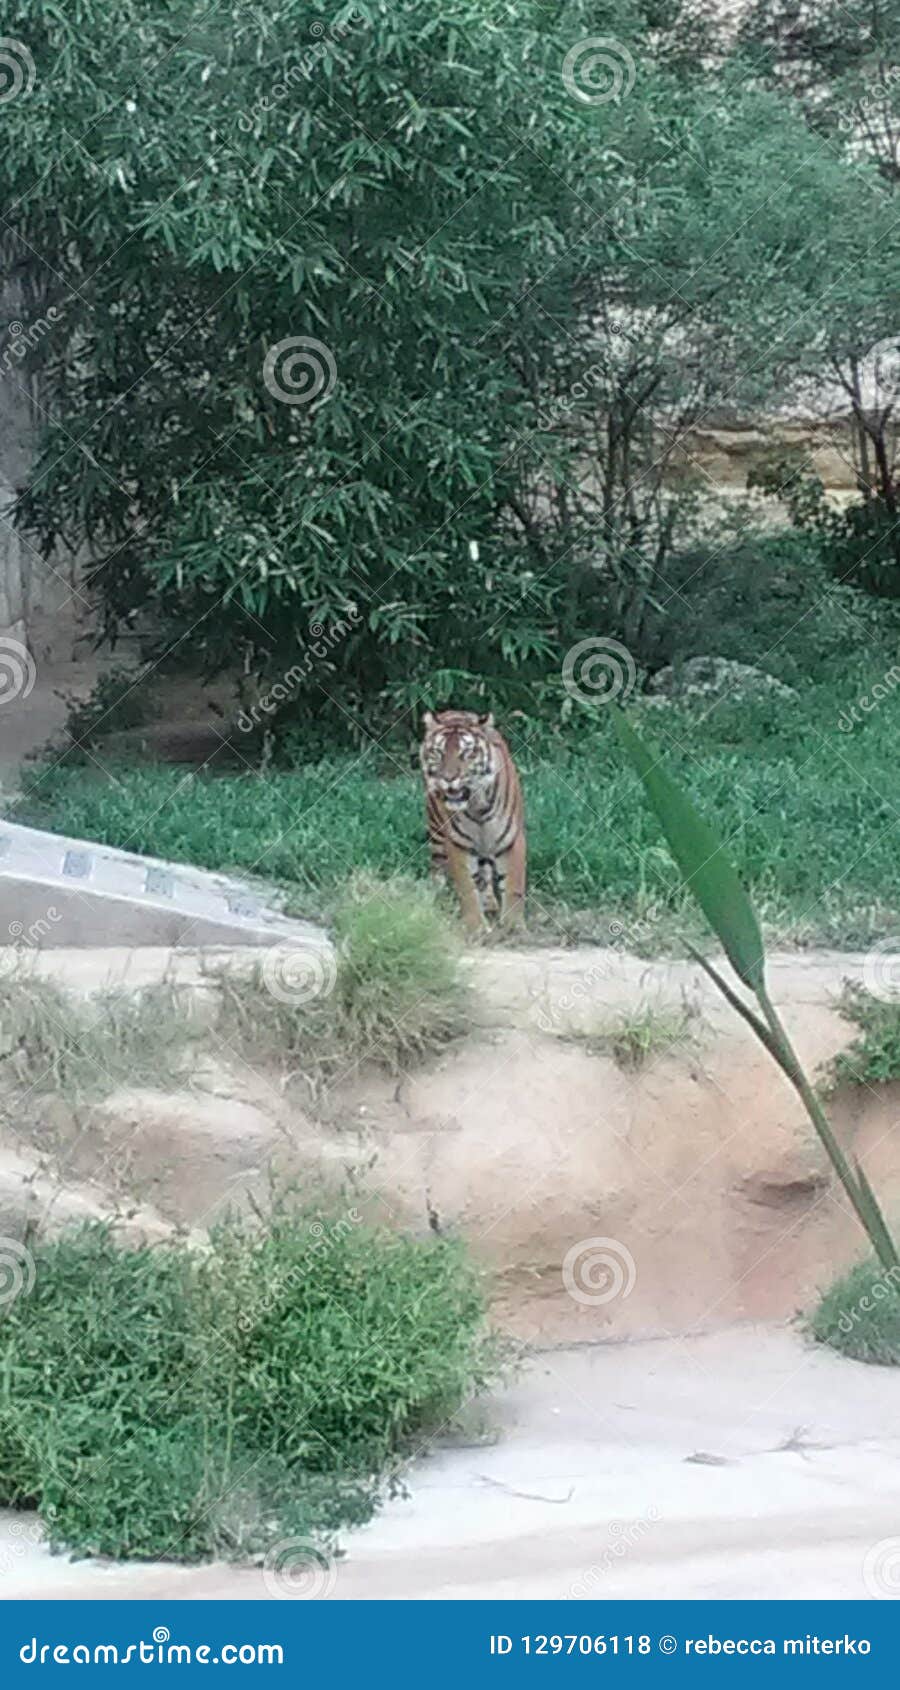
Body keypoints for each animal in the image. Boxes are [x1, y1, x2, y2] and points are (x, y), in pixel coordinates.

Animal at [419, 708, 526, 932]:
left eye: (467, 753)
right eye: (438, 753)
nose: (448, 778)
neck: (477, 805)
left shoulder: (512, 839)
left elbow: (514, 885)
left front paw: (514, 925)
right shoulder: (457, 843)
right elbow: (467, 887)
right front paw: (475, 926)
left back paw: (491, 905)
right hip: (437, 831)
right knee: (438, 867)